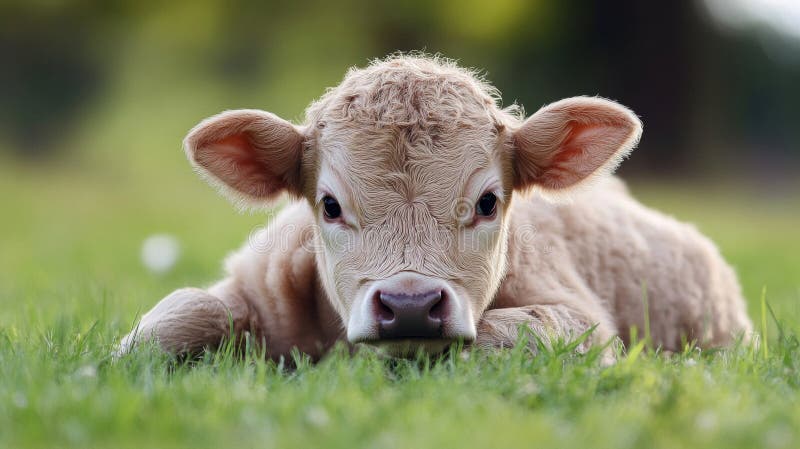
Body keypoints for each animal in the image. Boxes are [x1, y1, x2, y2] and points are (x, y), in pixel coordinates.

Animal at [118, 55, 752, 361]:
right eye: (329, 205)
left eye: (488, 202)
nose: (410, 305)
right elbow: (186, 312)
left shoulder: (583, 320)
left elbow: (512, 329)